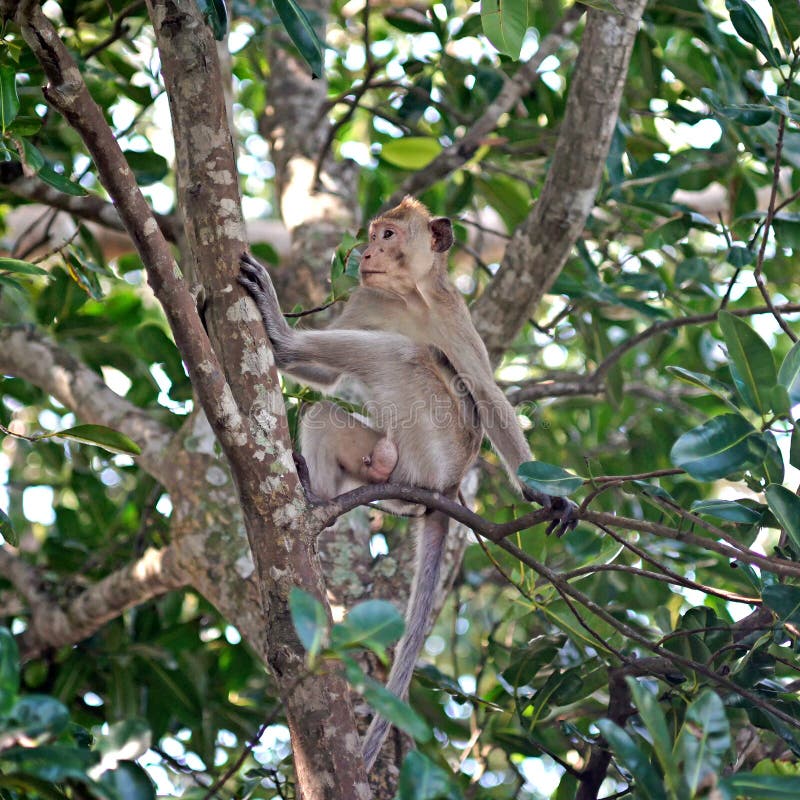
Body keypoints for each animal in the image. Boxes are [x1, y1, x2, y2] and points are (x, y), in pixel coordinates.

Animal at [238, 196, 575, 770]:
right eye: (374, 234)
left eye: (389, 234)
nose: (367, 252)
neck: (407, 296)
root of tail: (447, 488)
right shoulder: (366, 297)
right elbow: (327, 382)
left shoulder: (452, 313)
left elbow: (486, 393)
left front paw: (545, 493)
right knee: (330, 407)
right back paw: (321, 490)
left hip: (431, 447)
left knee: (403, 356)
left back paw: (283, 343)